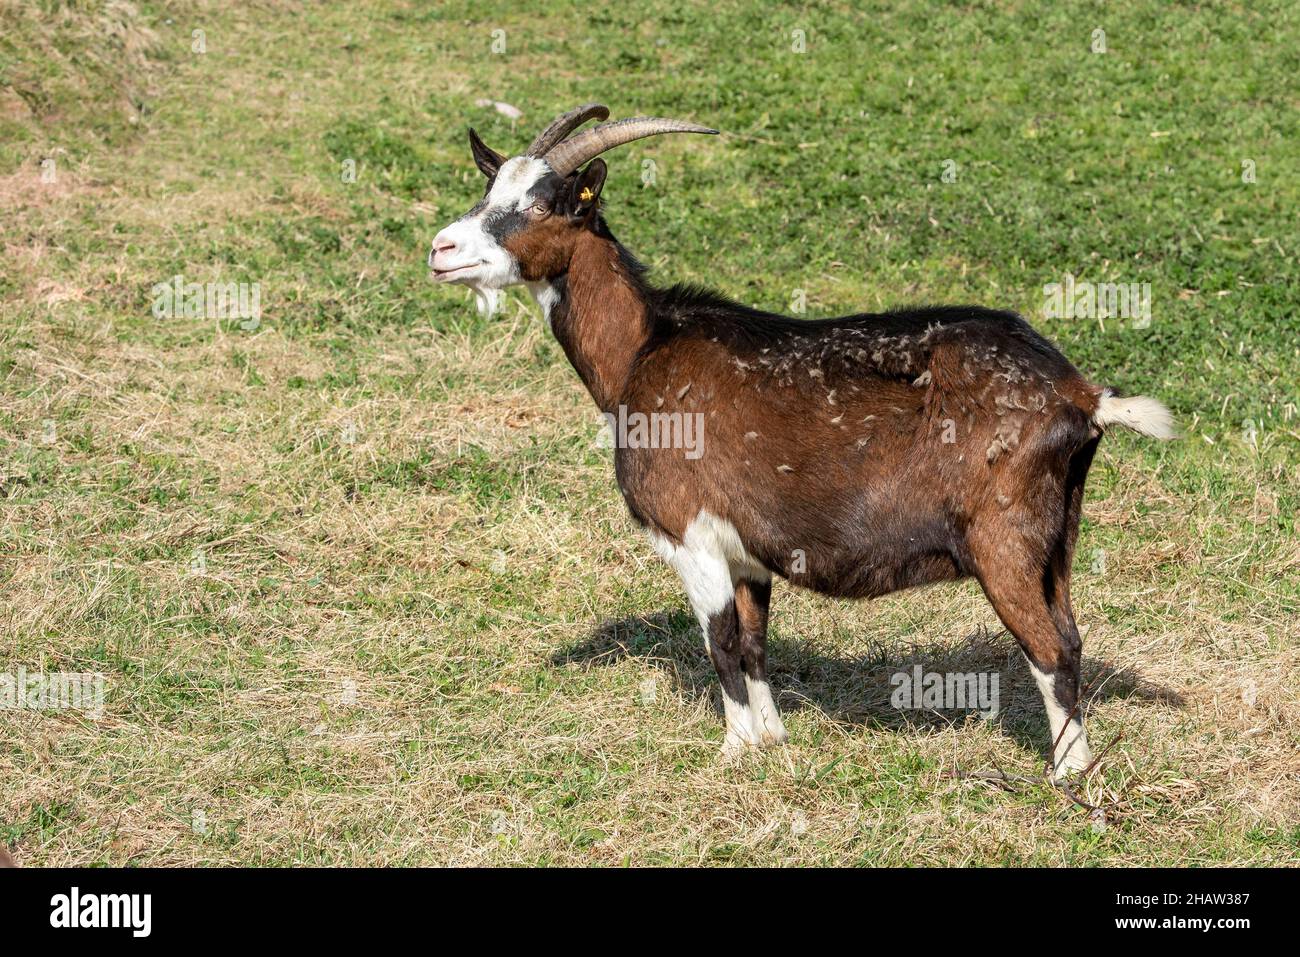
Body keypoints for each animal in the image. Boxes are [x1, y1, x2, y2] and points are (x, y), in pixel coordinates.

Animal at [429, 104, 1175, 778]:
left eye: (543, 206)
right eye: (488, 192)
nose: (442, 250)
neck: (644, 347)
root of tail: (1081, 395)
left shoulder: (690, 530)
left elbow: (721, 641)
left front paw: (732, 751)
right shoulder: (747, 547)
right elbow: (756, 642)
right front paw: (772, 739)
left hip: (1006, 540)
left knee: (1050, 649)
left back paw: (1067, 776)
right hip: (1058, 537)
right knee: (1071, 635)